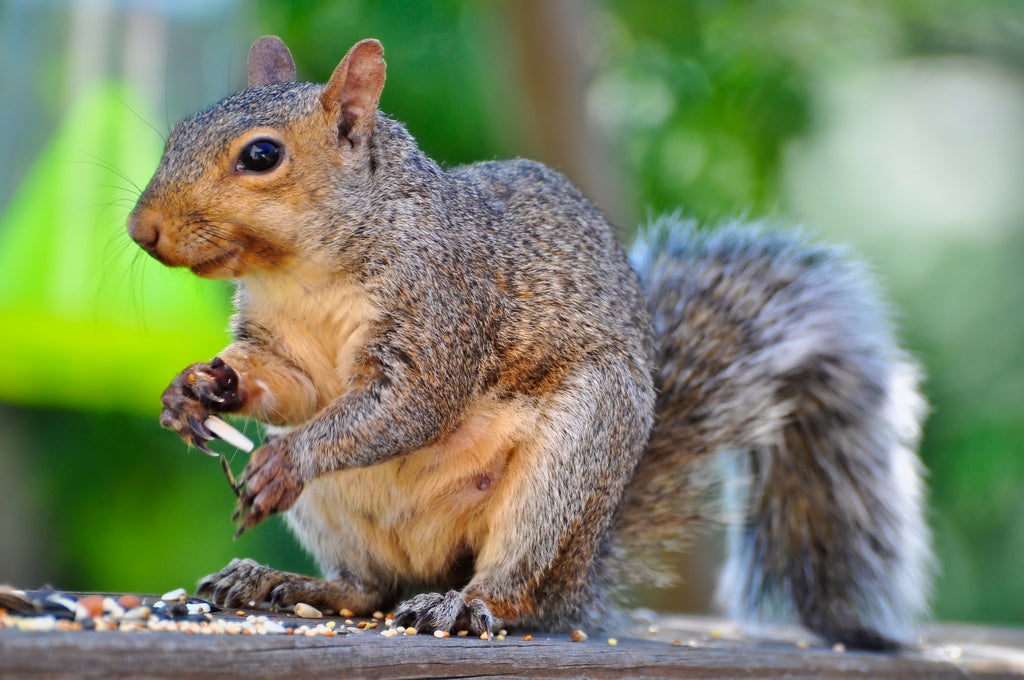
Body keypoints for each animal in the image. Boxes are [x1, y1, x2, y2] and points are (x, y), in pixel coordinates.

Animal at [127, 35, 931, 649]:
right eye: (177, 133)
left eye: (262, 156)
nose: (142, 231)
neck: (304, 272)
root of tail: (583, 577)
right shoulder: (281, 343)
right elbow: (283, 384)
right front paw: (194, 389)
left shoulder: (443, 309)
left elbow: (407, 405)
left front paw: (286, 458)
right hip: (343, 520)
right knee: (369, 590)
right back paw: (283, 582)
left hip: (568, 472)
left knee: (513, 591)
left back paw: (463, 605)